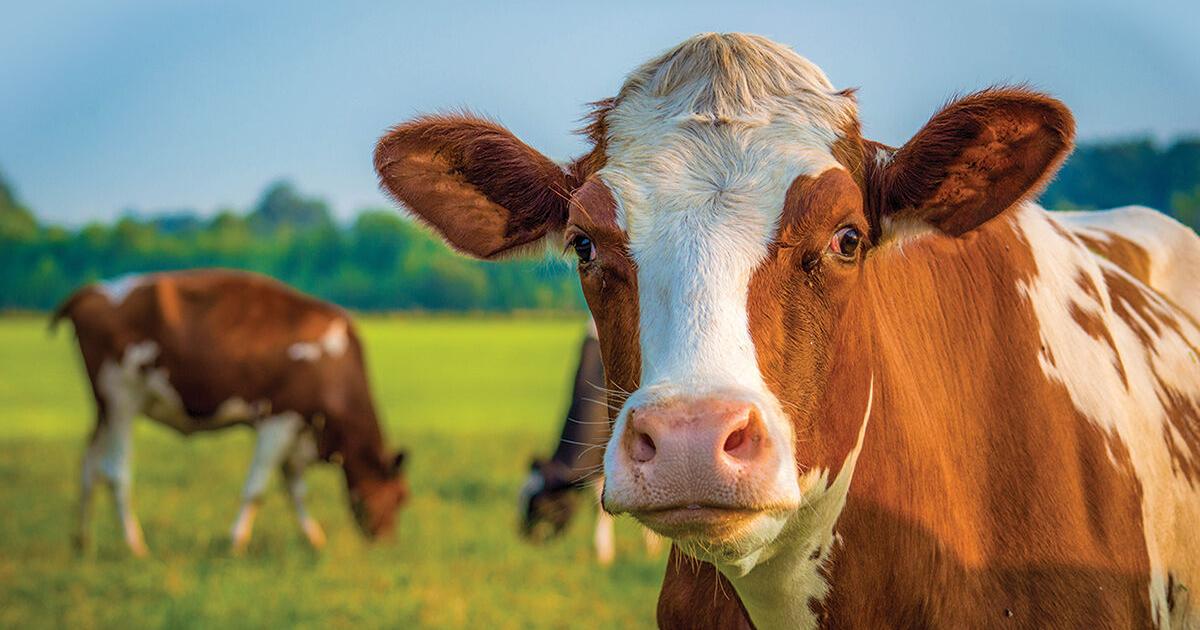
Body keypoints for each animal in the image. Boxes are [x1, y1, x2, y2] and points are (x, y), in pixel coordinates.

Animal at [51, 269, 408, 556]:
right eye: (401, 497)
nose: (388, 543)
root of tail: (94, 291)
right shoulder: (279, 419)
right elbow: (257, 488)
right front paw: (236, 543)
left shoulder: (298, 432)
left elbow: (296, 490)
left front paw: (313, 538)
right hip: (122, 398)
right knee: (115, 471)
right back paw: (134, 546)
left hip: (103, 408)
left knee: (88, 467)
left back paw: (83, 542)